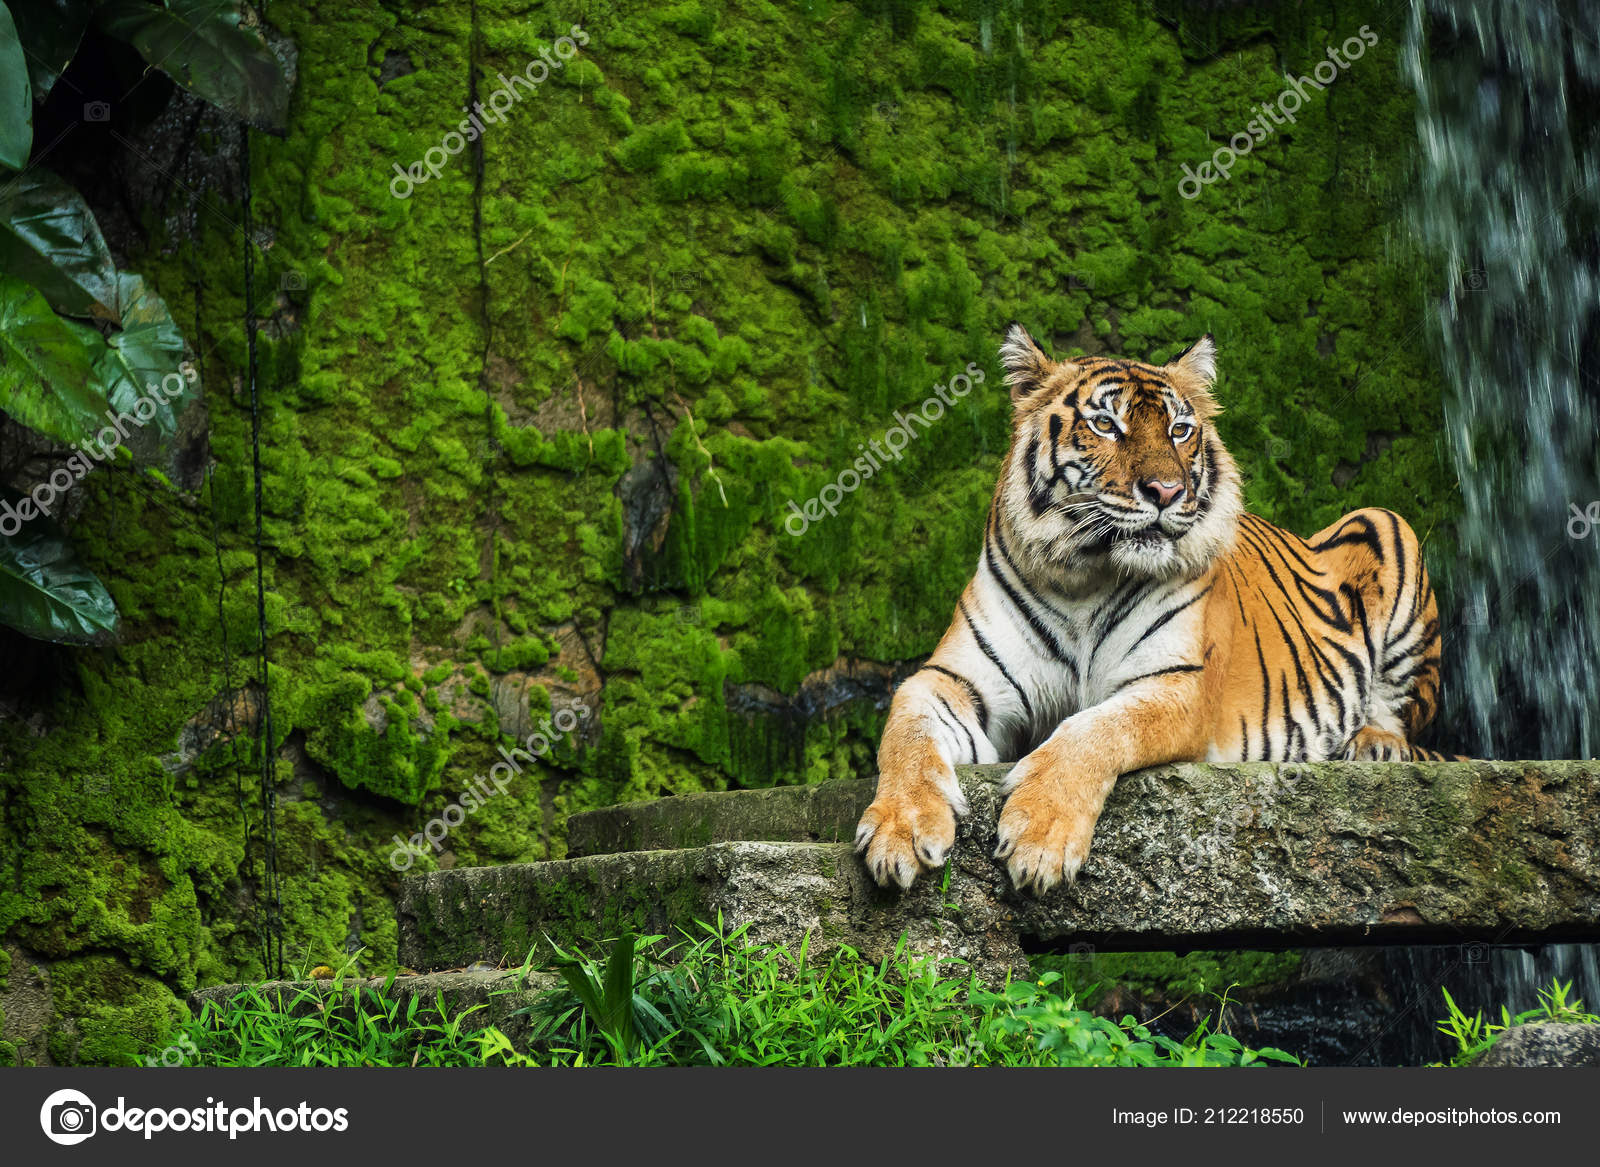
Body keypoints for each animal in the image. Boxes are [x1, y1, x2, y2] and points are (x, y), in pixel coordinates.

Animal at [855, 325, 1453, 894]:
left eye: (1180, 431)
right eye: (1105, 425)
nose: (1166, 491)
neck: (1084, 577)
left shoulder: (1176, 684)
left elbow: (1094, 729)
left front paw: (1040, 837)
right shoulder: (954, 679)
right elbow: (906, 732)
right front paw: (900, 831)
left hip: (1385, 523)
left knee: (1405, 720)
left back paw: (1372, 745)